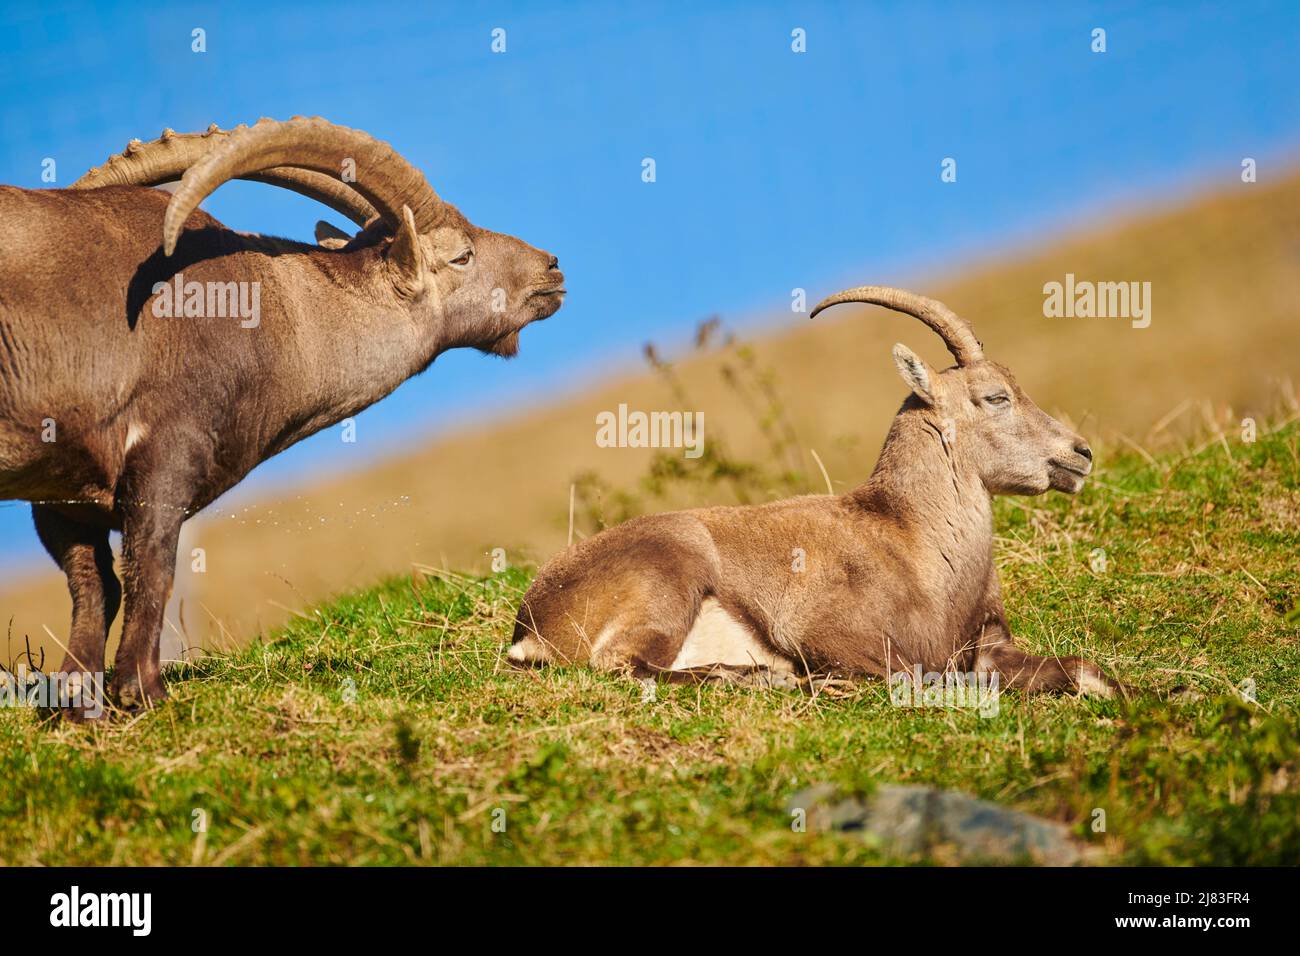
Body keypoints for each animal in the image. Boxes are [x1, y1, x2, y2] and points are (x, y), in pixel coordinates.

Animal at [0, 117, 565, 715]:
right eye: (461, 256)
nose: (552, 266)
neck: (272, 315)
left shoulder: (61, 494)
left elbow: (93, 584)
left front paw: (76, 705)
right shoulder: (165, 455)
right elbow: (150, 570)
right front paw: (142, 692)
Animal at [509, 286, 1121, 698]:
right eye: (995, 397)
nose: (1080, 453)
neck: (915, 542)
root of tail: (530, 624)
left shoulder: (989, 647)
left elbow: (1079, 667)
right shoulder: (838, 641)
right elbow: (916, 681)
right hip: (672, 570)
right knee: (625, 663)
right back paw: (764, 677)